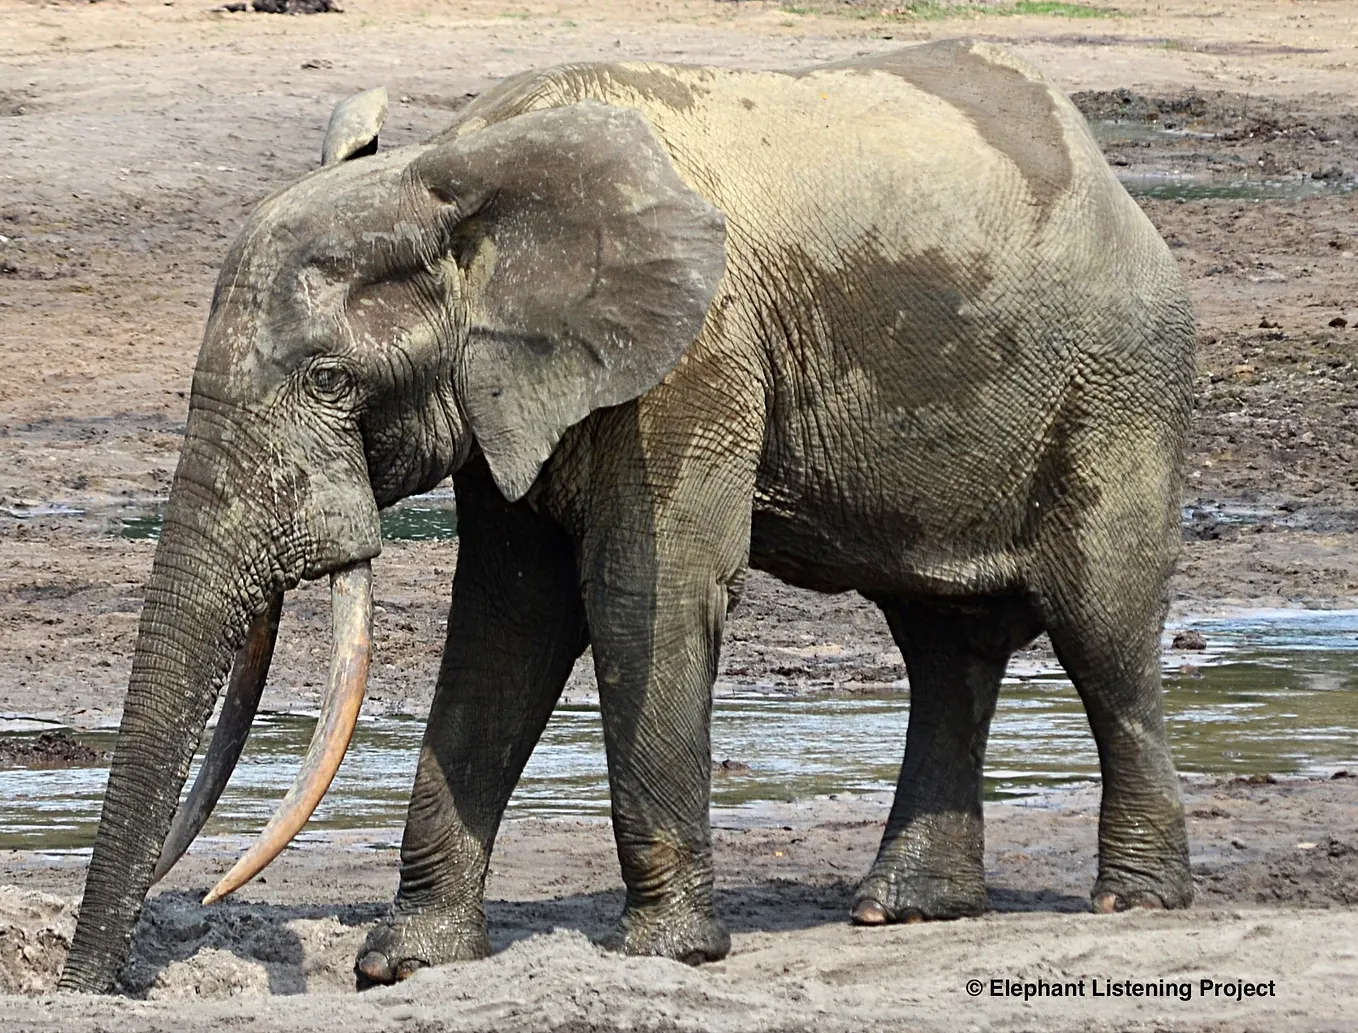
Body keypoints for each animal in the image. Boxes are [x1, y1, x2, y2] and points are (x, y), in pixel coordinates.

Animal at [59, 38, 1195, 993]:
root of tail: (1110, 181)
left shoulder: (689, 362)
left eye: (332, 381)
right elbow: (507, 620)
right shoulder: (511, 382)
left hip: (1117, 388)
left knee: (1100, 628)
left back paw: (1131, 900)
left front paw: (670, 955)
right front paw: (404, 963)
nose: (97, 986)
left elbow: (641, 593)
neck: (466, 171)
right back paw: (902, 911)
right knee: (941, 643)